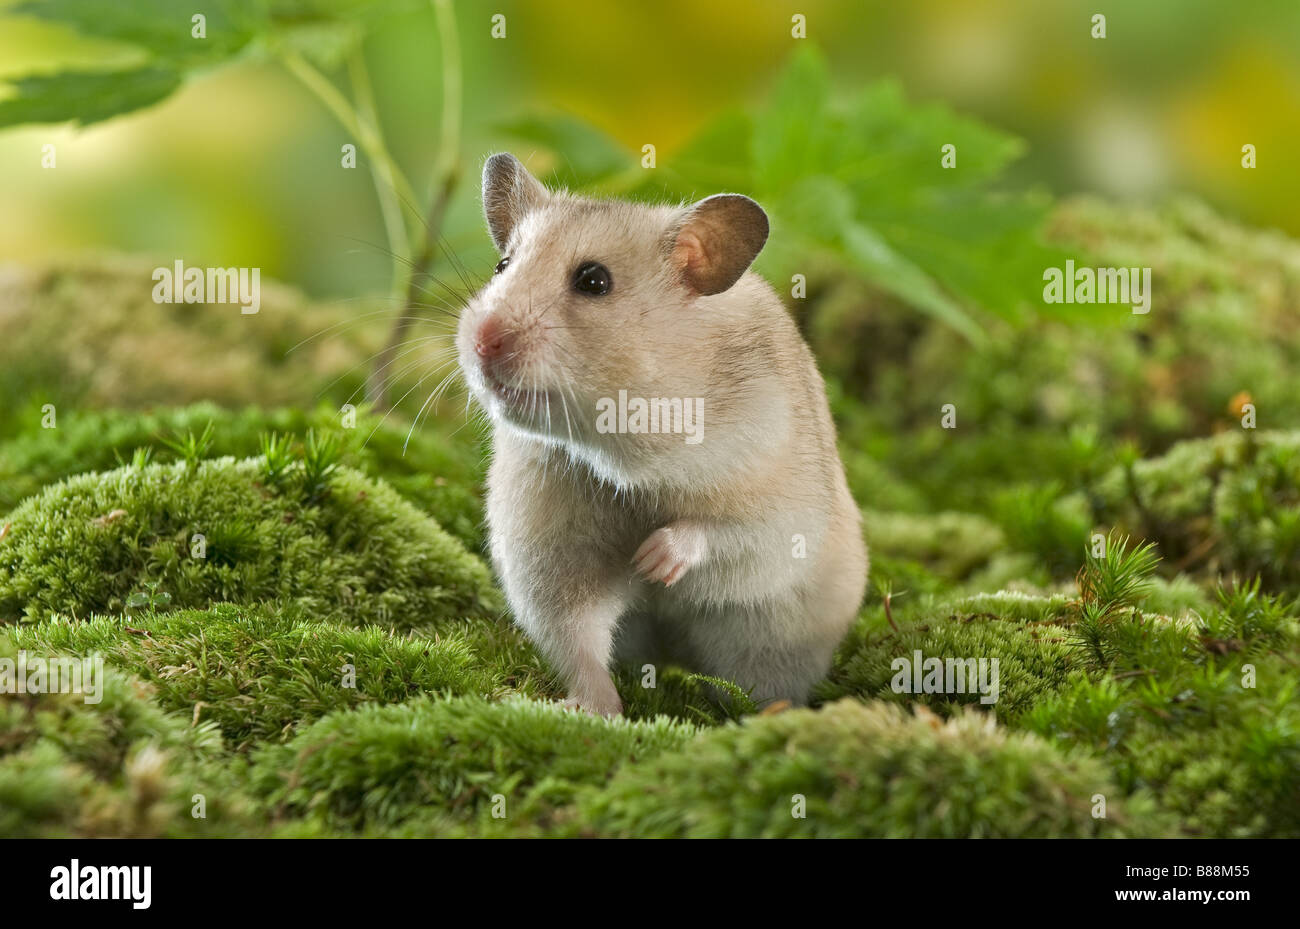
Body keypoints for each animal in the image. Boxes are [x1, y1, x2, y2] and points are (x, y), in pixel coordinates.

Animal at [456, 152, 867, 716]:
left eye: (594, 281)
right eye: (502, 266)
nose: (481, 341)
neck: (626, 450)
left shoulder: (783, 508)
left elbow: (722, 531)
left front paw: (653, 562)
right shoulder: (548, 553)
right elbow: (575, 637)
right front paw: (593, 708)